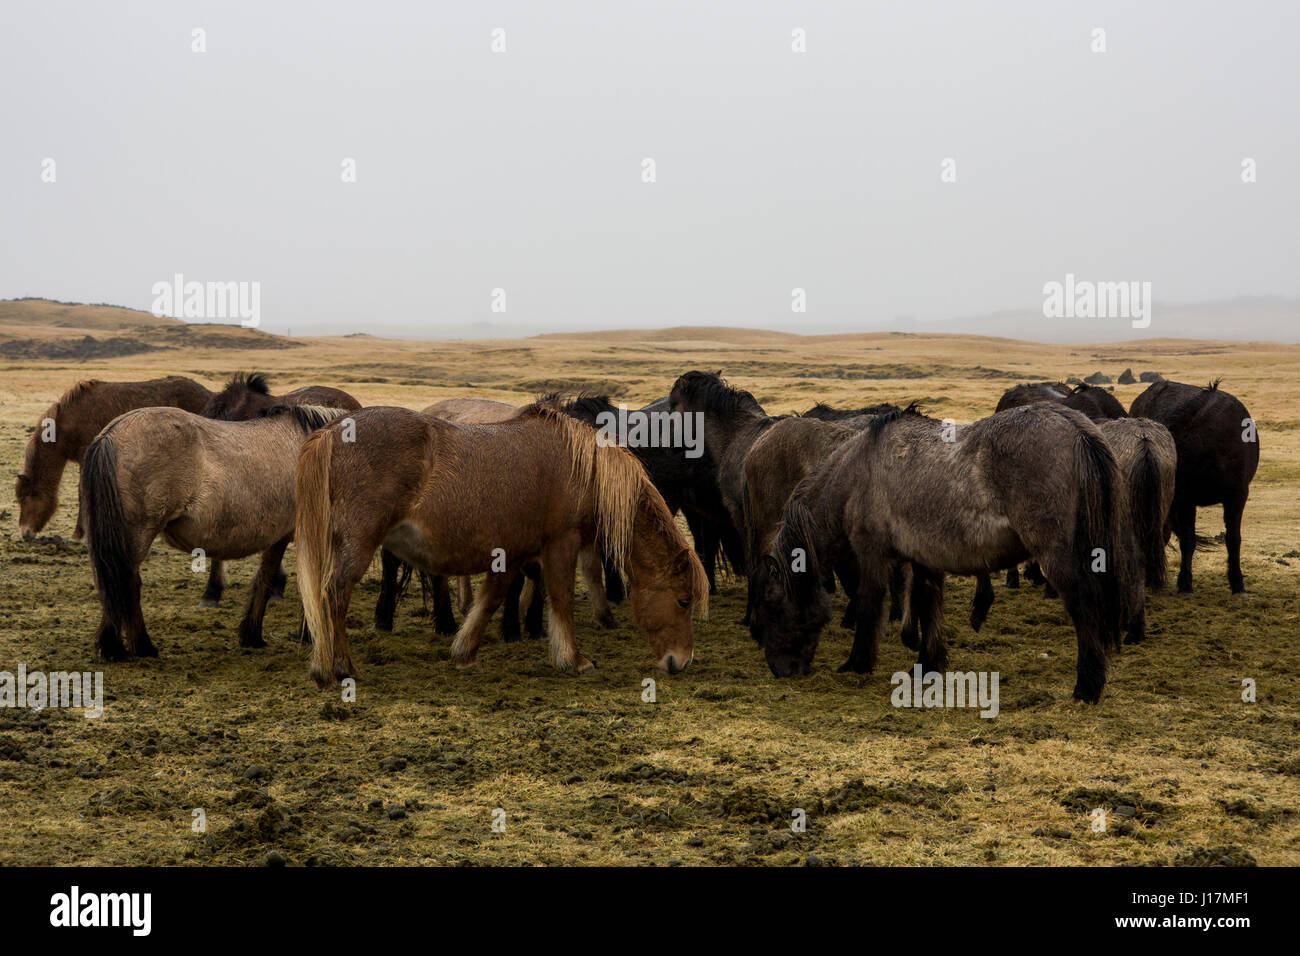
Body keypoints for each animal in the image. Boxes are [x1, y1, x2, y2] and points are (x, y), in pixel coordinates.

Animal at [79, 404, 350, 661]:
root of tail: (110, 434)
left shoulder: (280, 537)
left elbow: (266, 576)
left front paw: (252, 634)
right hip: (137, 535)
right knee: (126, 583)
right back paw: (139, 647)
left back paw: (113, 647)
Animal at [294, 403, 708, 687]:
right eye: (682, 601)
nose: (682, 660)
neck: (579, 469)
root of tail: (332, 431)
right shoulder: (561, 542)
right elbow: (561, 599)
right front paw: (574, 660)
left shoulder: (511, 553)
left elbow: (491, 600)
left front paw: (465, 653)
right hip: (358, 542)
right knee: (335, 592)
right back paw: (342, 669)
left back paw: (323, 664)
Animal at [749, 403, 1138, 703]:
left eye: (771, 603)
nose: (780, 669)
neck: (858, 472)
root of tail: (1076, 428)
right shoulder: (924, 558)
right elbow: (928, 603)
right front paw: (928, 664)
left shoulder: (871, 554)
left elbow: (869, 604)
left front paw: (857, 662)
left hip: (1056, 557)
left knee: (1083, 605)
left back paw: (1087, 687)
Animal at [1130, 380, 1259, 593]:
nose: (1147, 580)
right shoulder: (1185, 500)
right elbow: (1188, 540)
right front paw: (1184, 582)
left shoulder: (1237, 495)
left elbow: (1233, 538)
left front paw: (1237, 582)